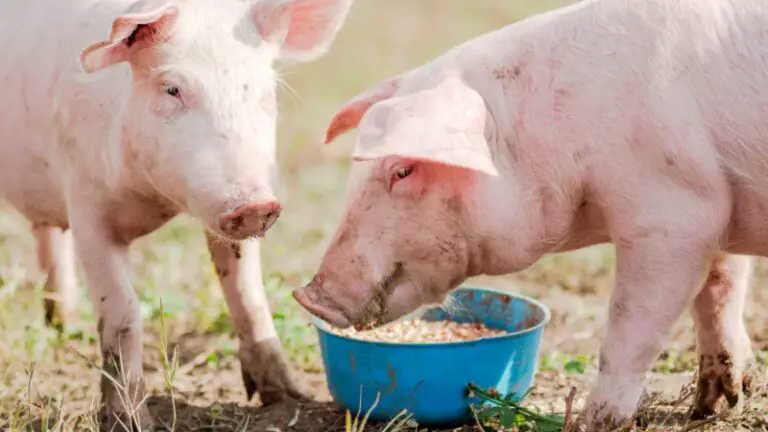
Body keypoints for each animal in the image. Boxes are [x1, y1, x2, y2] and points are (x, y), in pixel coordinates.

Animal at [0, 0, 352, 428]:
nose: (254, 205)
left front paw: (287, 396)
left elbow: (247, 292)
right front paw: (130, 421)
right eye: (173, 89)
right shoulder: (86, 205)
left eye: (266, 93)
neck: (154, 200)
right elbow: (122, 312)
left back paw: (66, 324)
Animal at [292, 0, 768, 429]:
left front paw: (596, 422)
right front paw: (713, 406)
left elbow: (631, 325)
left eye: (402, 170)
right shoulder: (715, 207)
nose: (309, 296)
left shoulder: (673, 214)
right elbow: (719, 291)